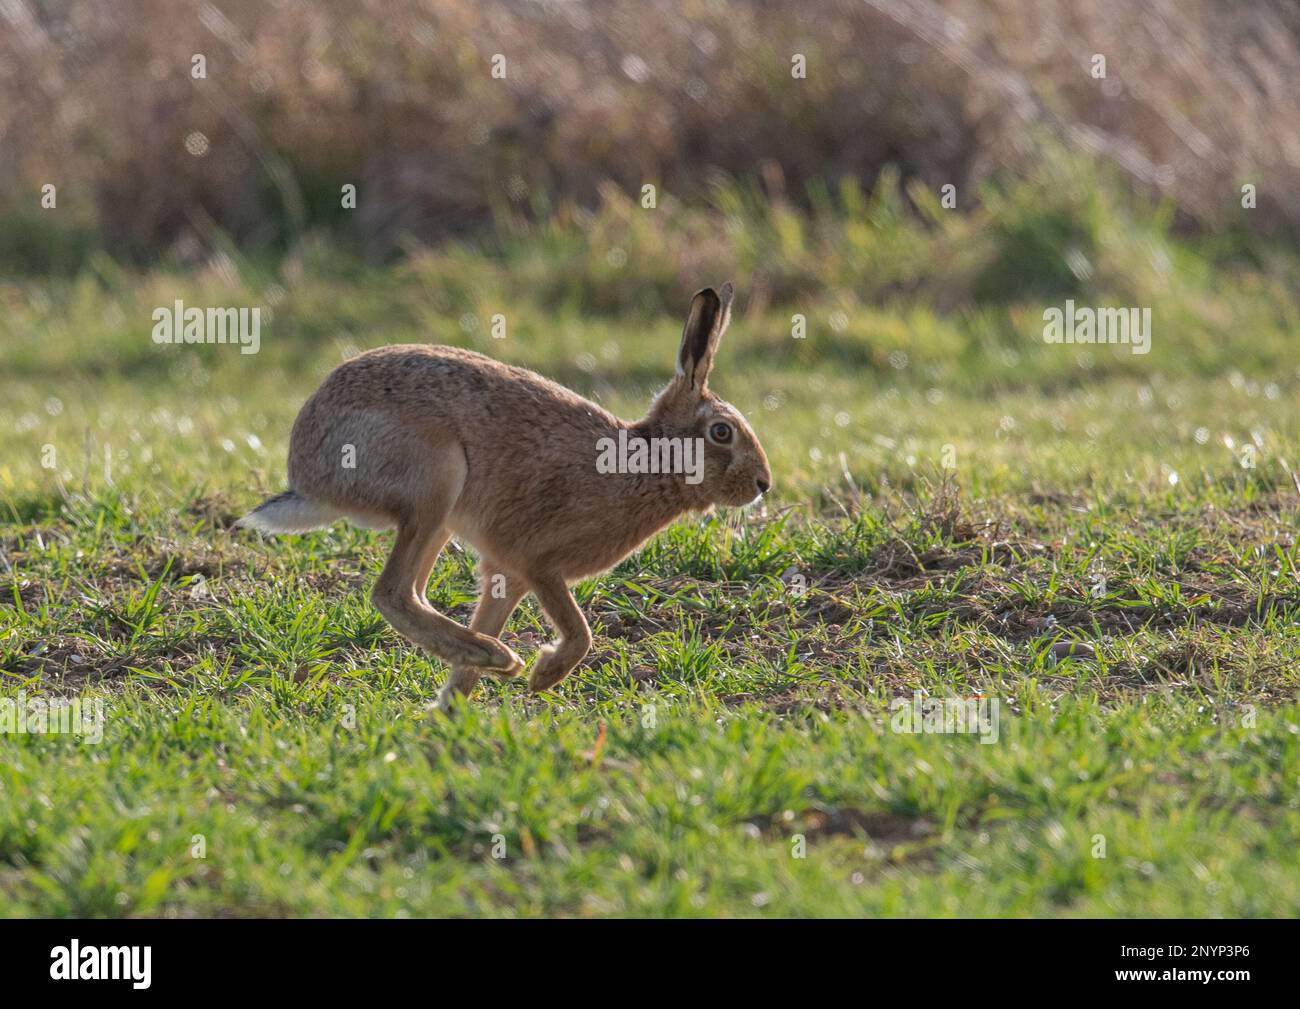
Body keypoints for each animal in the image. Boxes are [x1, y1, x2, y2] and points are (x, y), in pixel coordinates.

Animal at [238, 283, 771, 710]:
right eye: (722, 432)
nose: (763, 485)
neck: (646, 463)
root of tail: (307, 473)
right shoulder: (539, 562)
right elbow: (580, 633)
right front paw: (541, 676)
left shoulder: (507, 573)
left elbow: (478, 653)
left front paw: (449, 714)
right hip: (436, 478)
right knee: (391, 592)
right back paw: (499, 656)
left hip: (439, 514)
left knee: (412, 591)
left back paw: (483, 656)